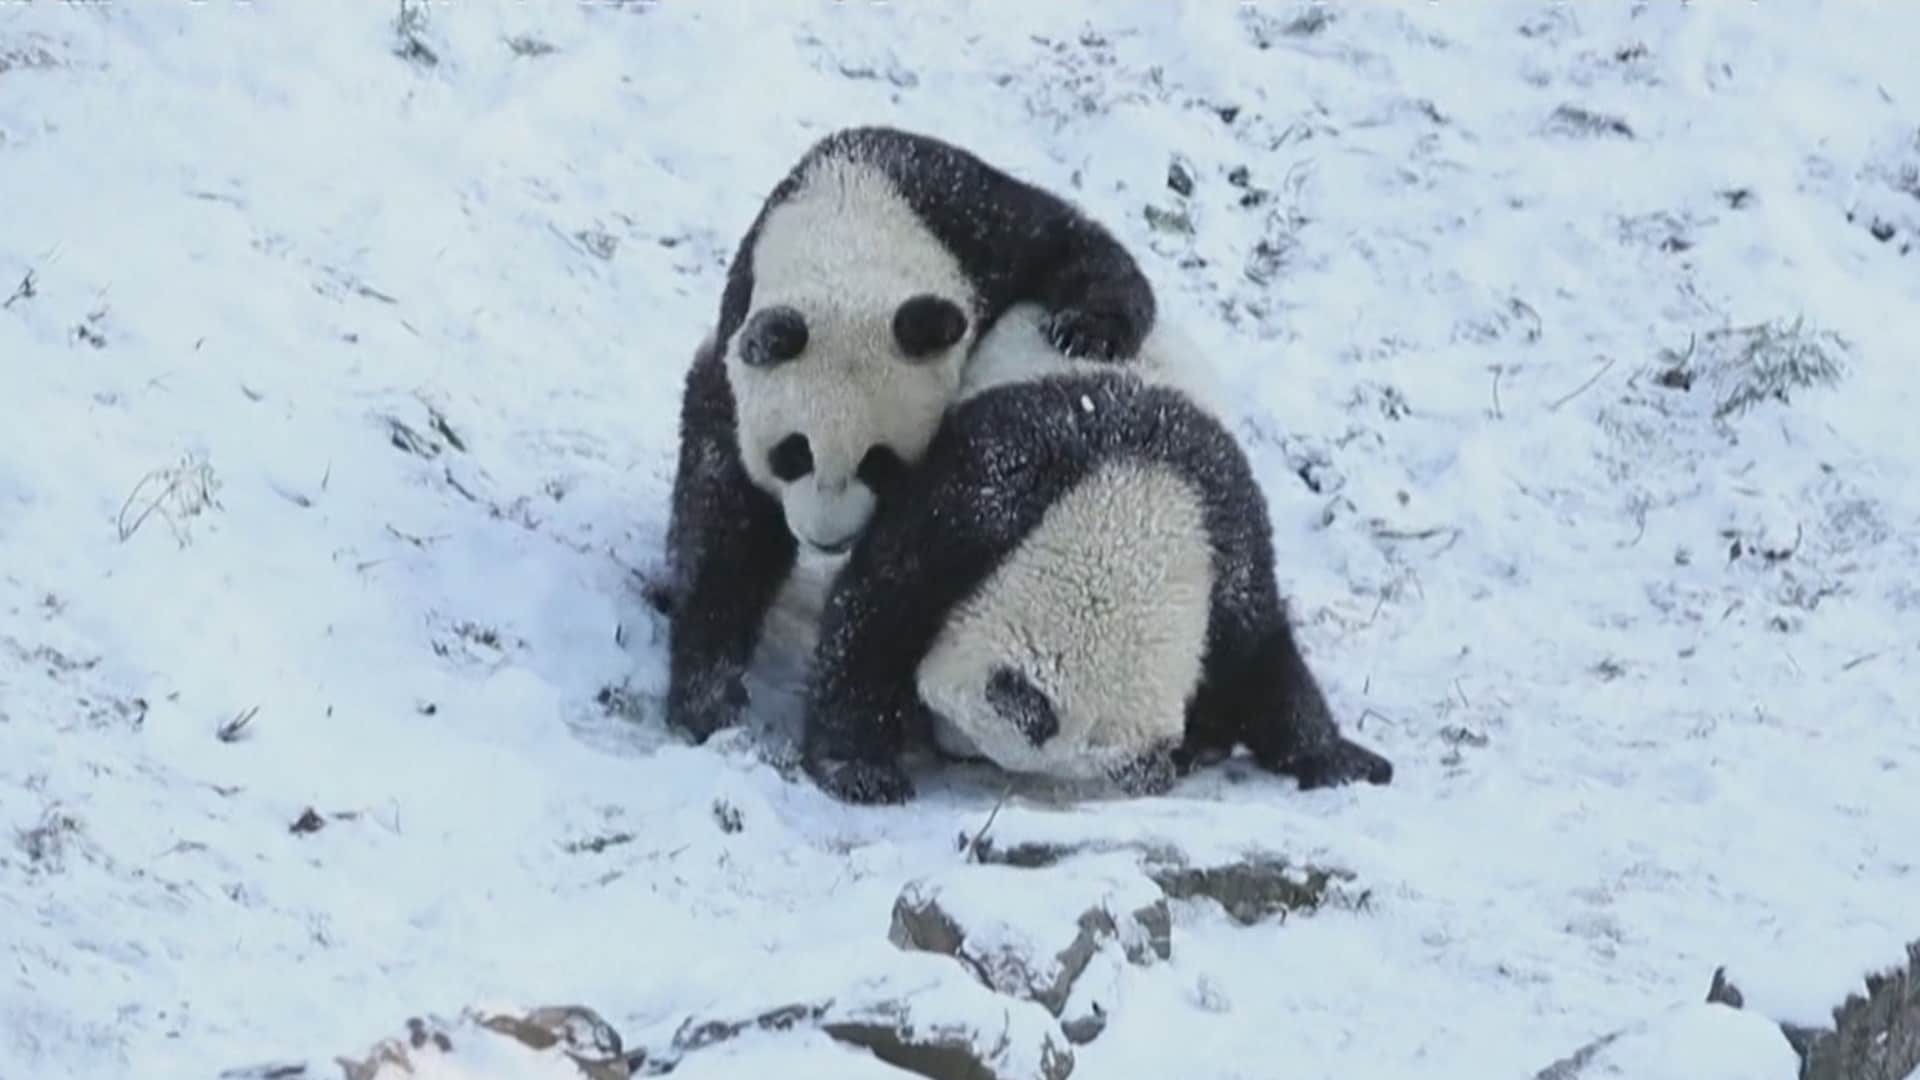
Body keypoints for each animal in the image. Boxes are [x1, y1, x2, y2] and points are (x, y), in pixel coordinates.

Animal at [662, 125, 1159, 744]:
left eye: (880, 461)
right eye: (793, 454)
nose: (828, 538)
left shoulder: (975, 223)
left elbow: (1074, 246)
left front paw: (1085, 331)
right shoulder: (742, 350)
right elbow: (725, 514)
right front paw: (708, 698)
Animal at [798, 303, 1396, 805]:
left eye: (968, 734)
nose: (946, 743)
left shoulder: (1221, 529)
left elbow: (1261, 656)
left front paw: (1345, 761)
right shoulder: (1007, 474)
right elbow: (887, 595)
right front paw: (857, 766)